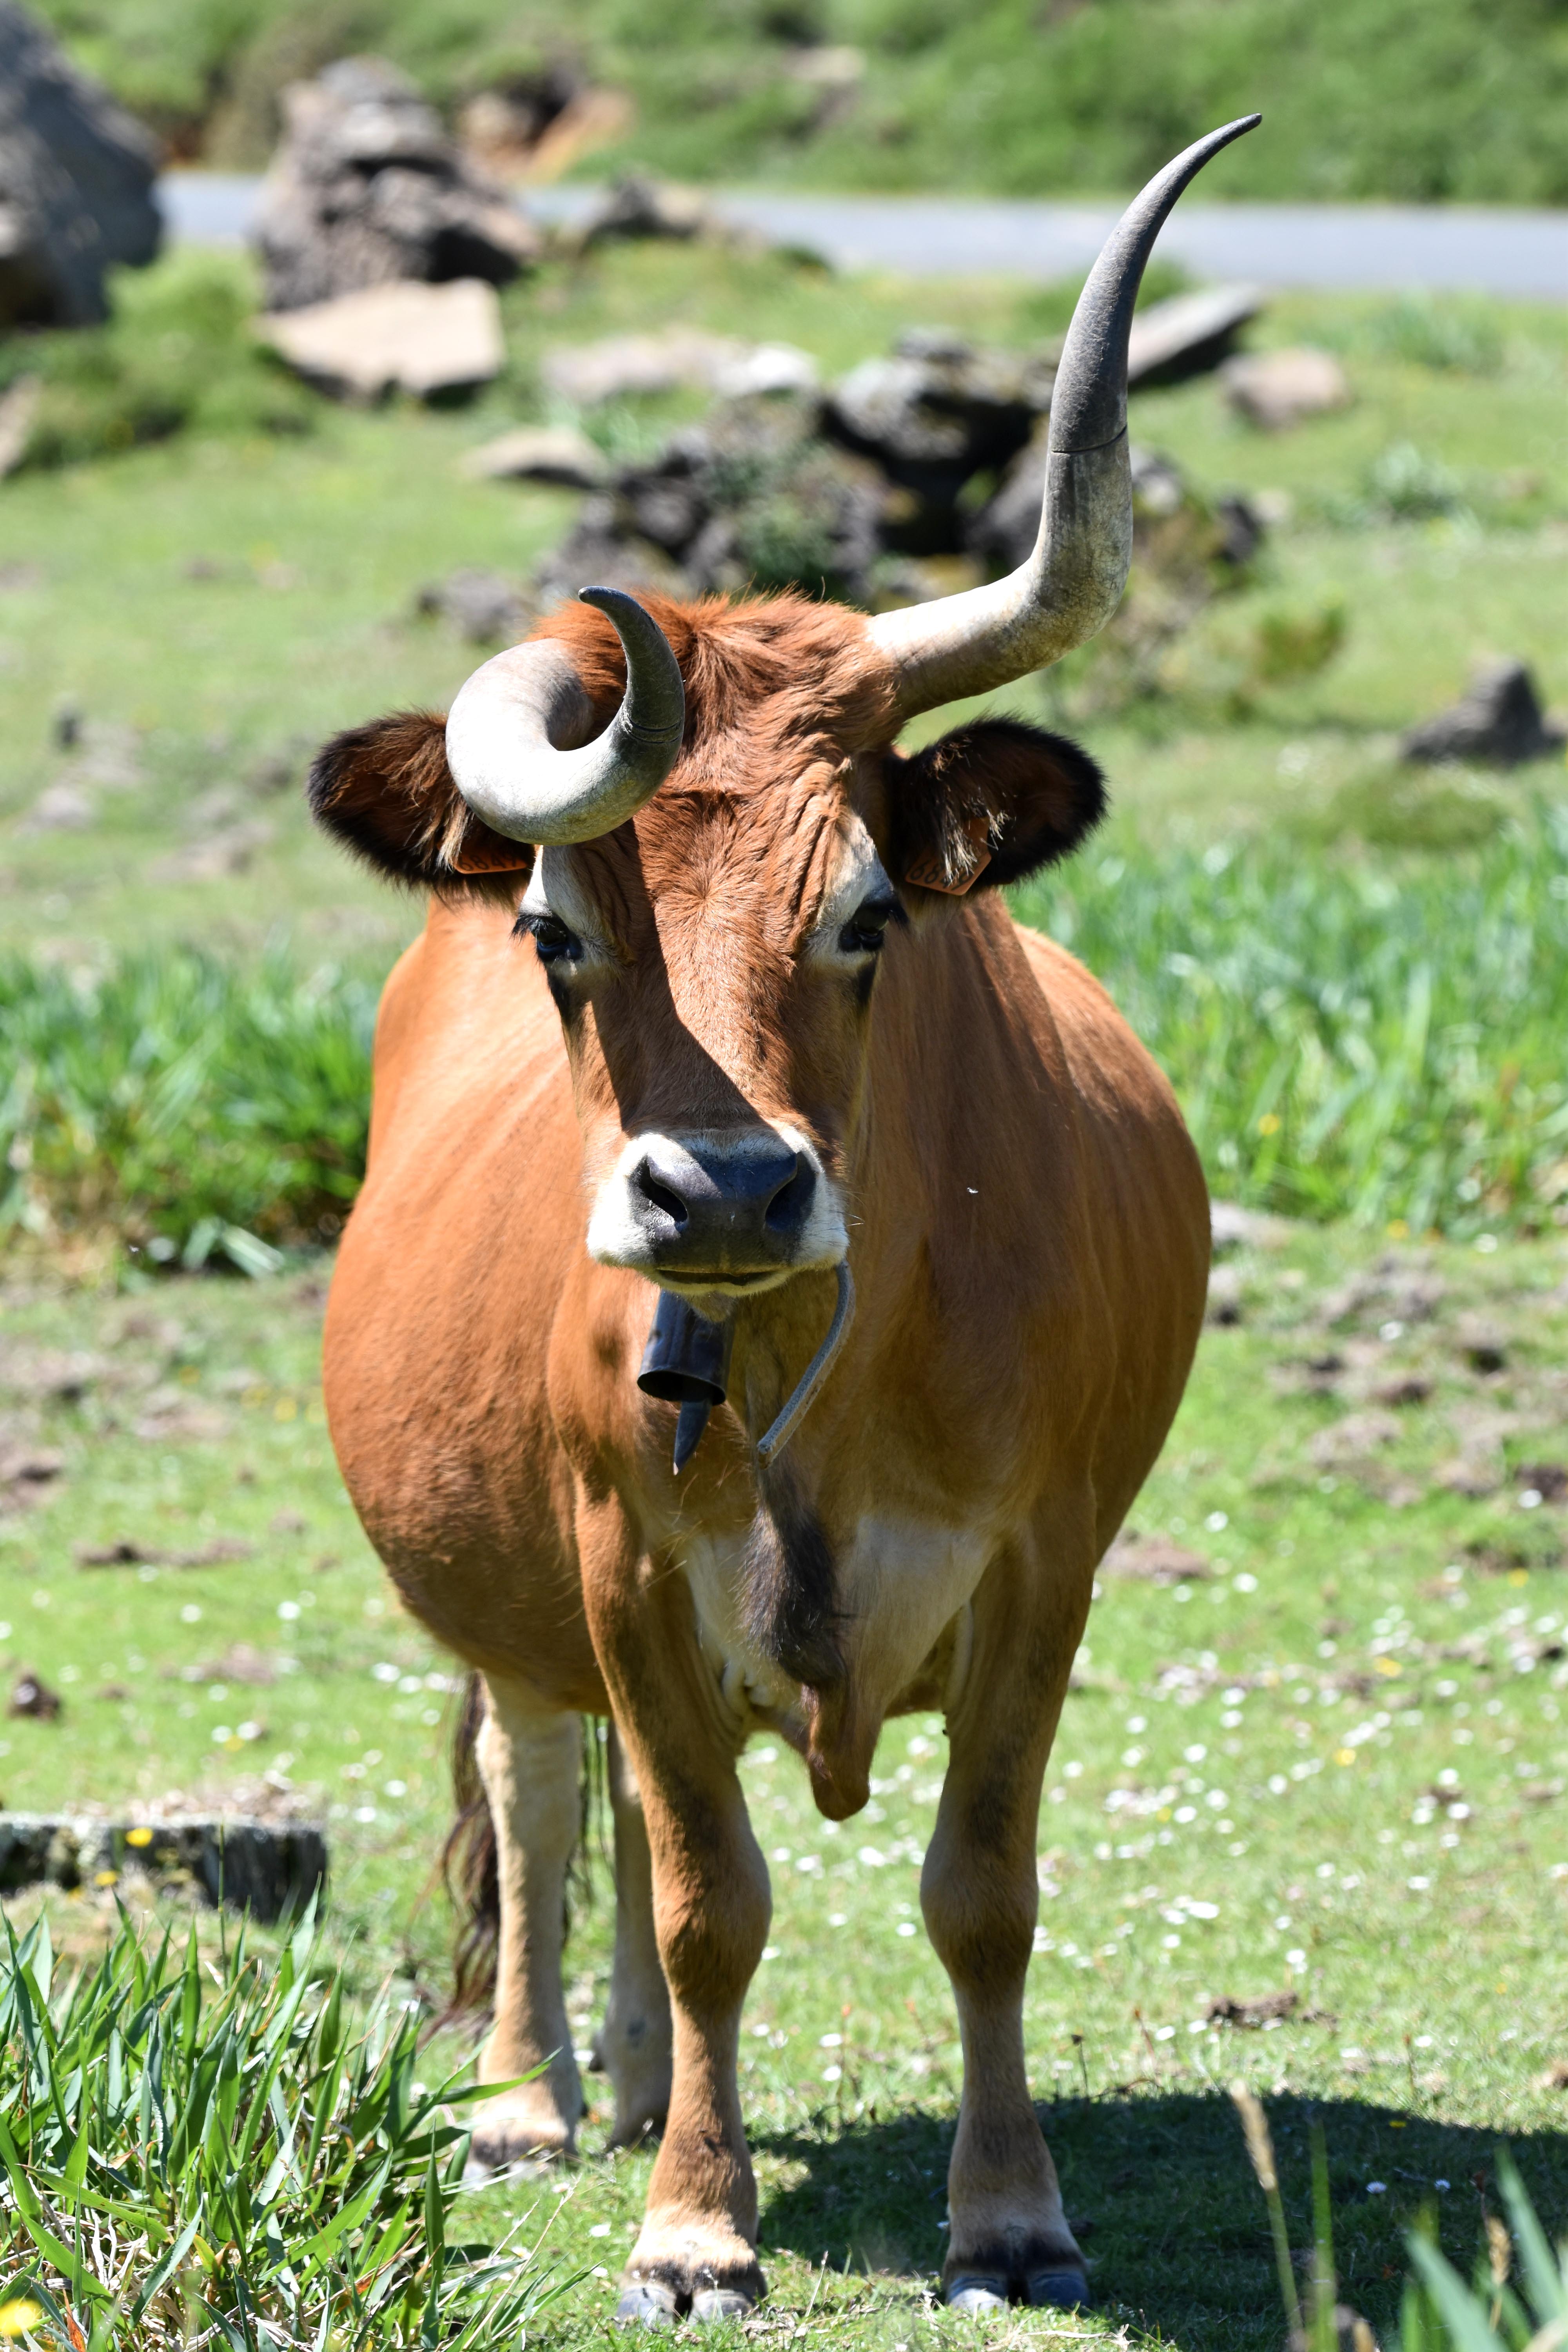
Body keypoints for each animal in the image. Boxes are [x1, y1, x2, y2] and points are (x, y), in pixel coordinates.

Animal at [307, 117, 1254, 2327]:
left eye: (871, 911)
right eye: (558, 934)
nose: (720, 1186)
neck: (827, 1359)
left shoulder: (1043, 1566)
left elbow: (979, 1890)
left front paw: (1008, 2210)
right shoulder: (621, 1563)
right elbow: (698, 1896)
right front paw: (690, 2227)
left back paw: (652, 2080)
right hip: (515, 1581)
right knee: (544, 1788)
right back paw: (541, 2096)